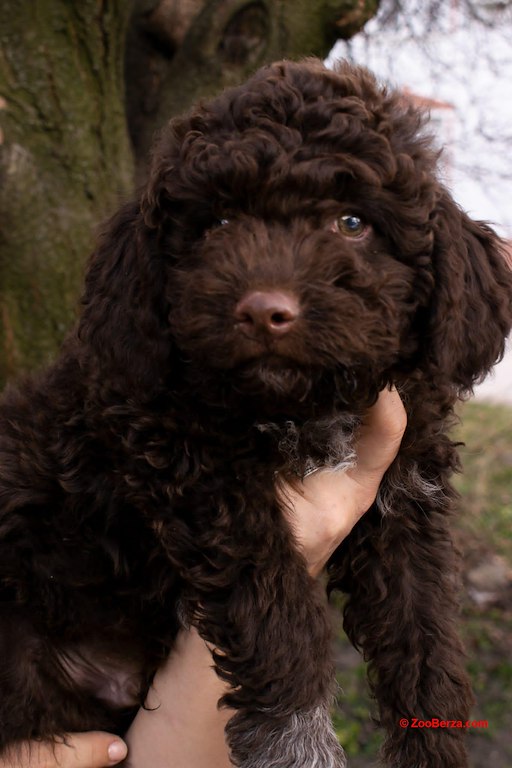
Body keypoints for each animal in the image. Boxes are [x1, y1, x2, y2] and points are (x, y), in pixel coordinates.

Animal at [1, 58, 512, 768]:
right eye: (217, 224)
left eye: (353, 222)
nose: (264, 311)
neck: (303, 406)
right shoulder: (191, 469)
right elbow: (279, 612)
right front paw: (296, 740)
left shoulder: (407, 494)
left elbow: (425, 630)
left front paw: (433, 747)